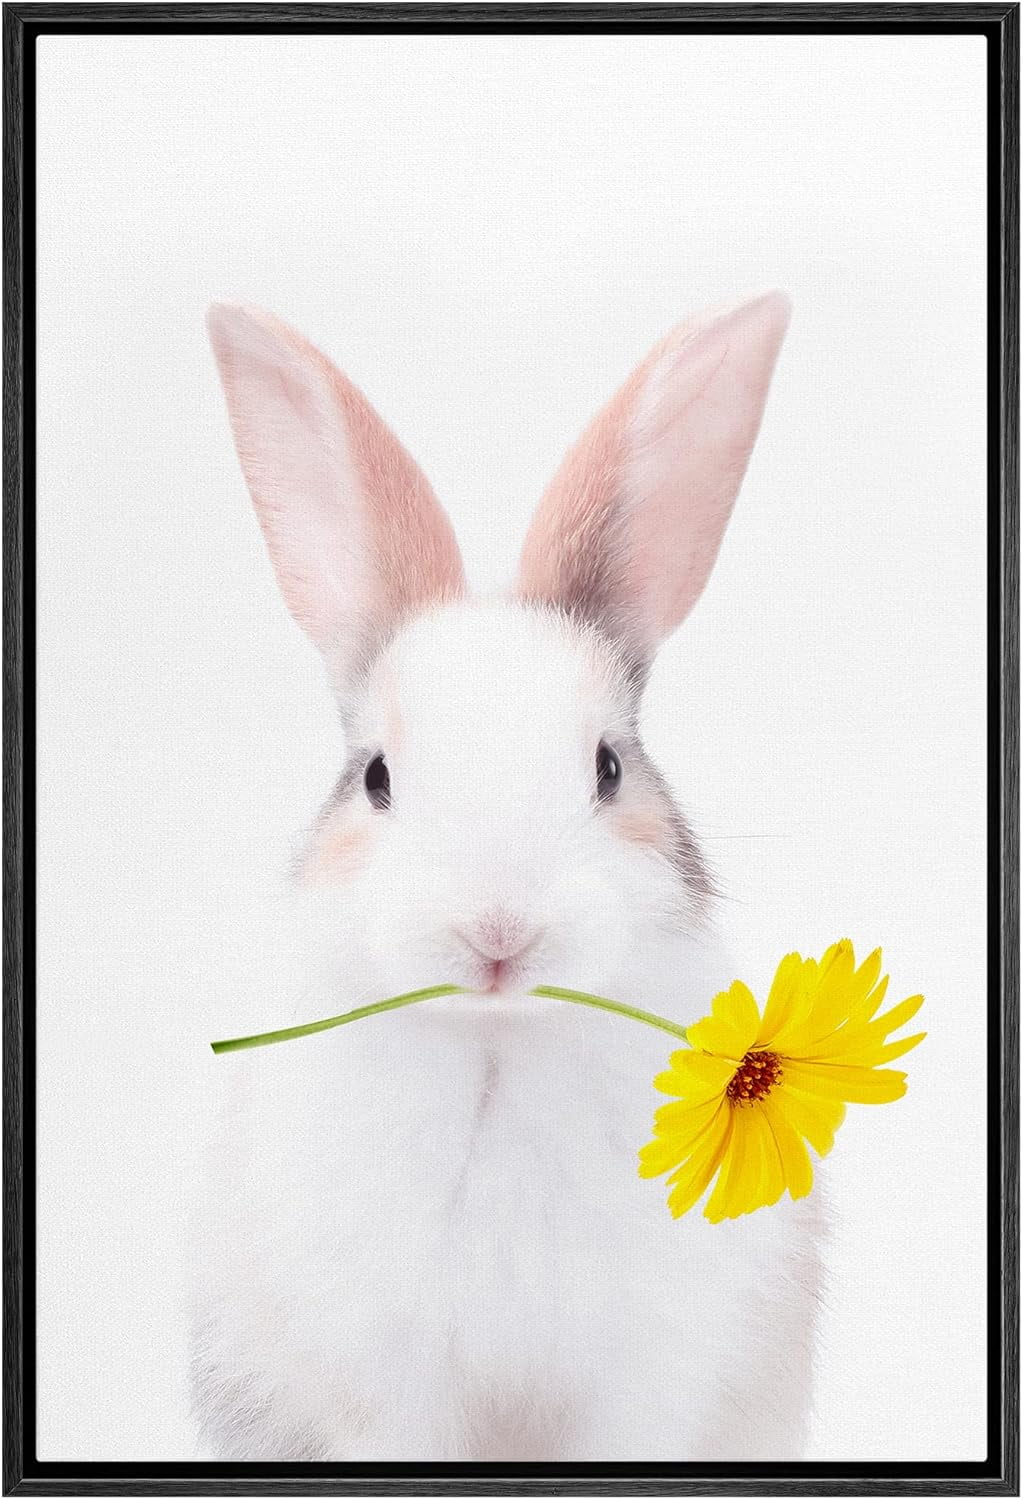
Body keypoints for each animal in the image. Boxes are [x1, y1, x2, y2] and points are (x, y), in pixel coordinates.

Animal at [191, 292, 822, 1463]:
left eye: (609, 767)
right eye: (377, 779)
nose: (496, 931)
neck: (496, 1046)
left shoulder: (642, 1374)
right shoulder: (383, 1385)